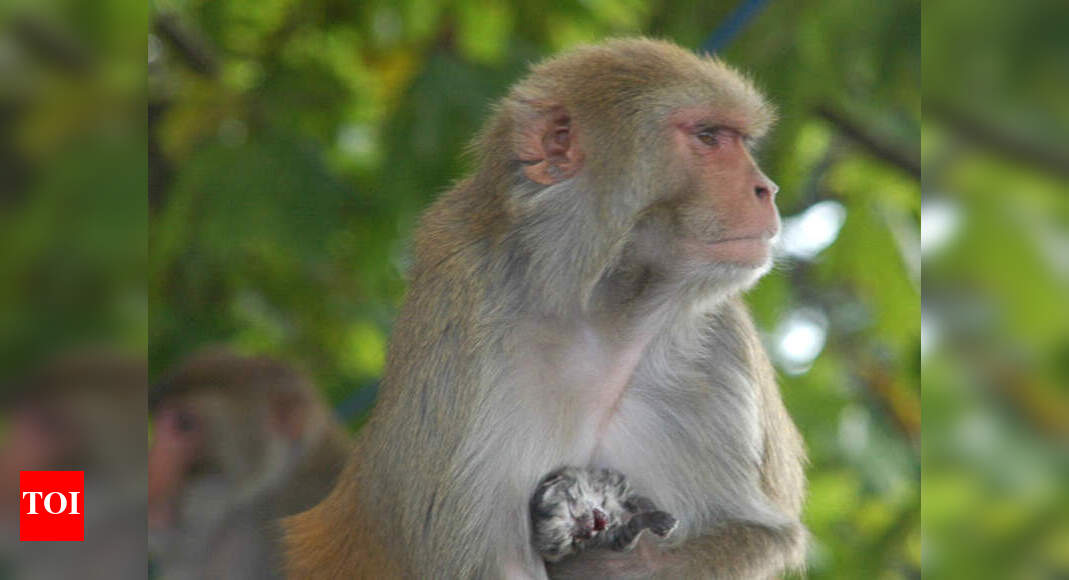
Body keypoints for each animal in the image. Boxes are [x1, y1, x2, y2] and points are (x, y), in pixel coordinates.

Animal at [530, 466, 678, 562]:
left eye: (572, 513)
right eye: (574, 539)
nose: (588, 531)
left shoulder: (621, 488)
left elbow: (642, 501)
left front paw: (658, 518)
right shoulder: (615, 540)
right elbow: (634, 523)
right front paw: (657, 520)